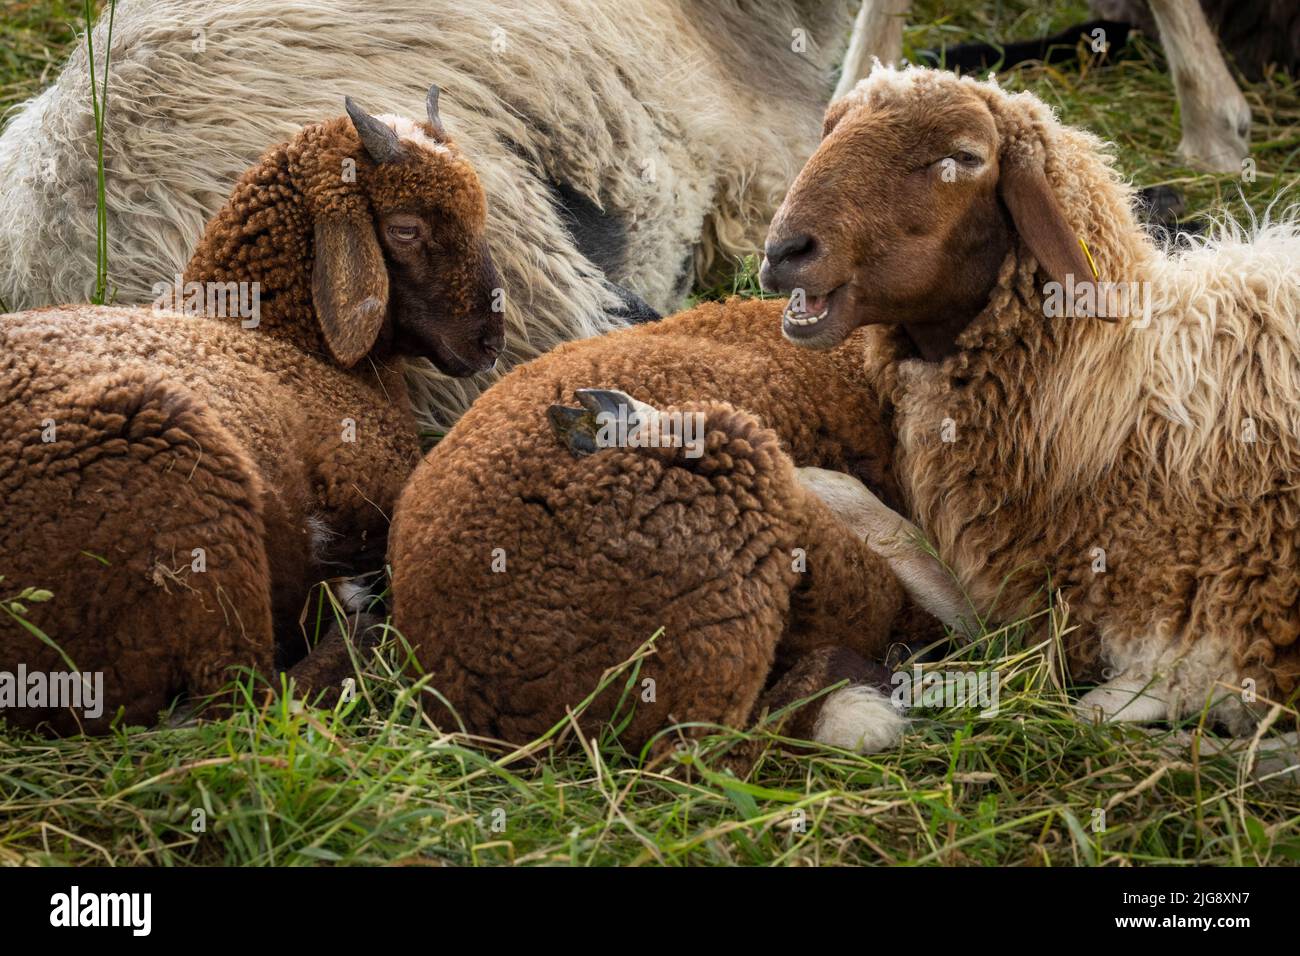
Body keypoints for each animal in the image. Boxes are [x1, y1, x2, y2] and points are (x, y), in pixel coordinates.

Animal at [760, 64, 1300, 737]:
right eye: (828, 128)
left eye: (964, 157)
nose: (783, 252)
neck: (1117, 404)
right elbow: (919, 558)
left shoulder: (1203, 614)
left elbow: (1110, 700)